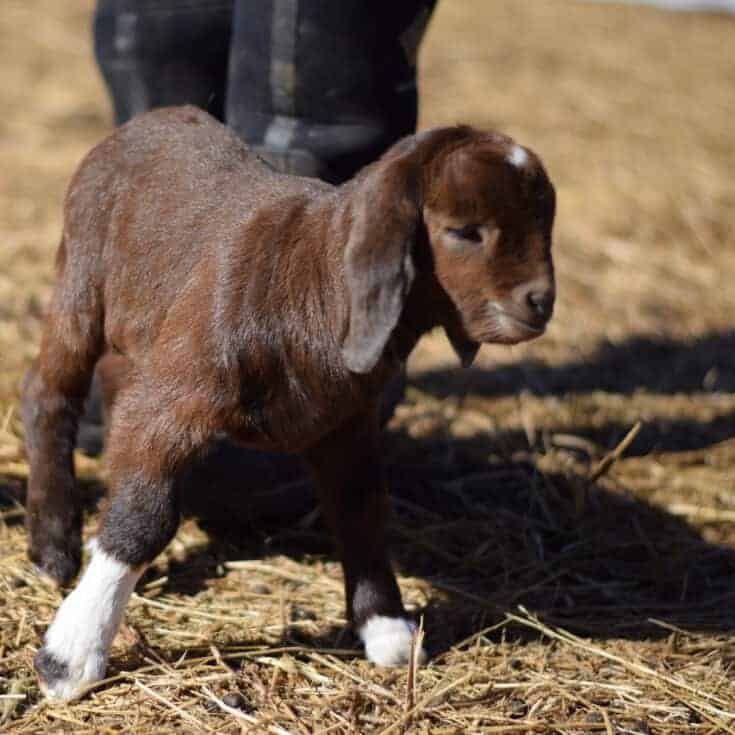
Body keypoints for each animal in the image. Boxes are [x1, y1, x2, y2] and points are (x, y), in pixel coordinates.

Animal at [22, 106, 556, 701]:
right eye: (464, 231)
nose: (540, 301)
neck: (315, 284)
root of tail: (156, 117)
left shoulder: (344, 421)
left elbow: (360, 509)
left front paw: (387, 629)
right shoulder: (178, 396)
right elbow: (144, 518)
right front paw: (70, 655)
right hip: (82, 275)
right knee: (48, 394)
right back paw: (53, 545)